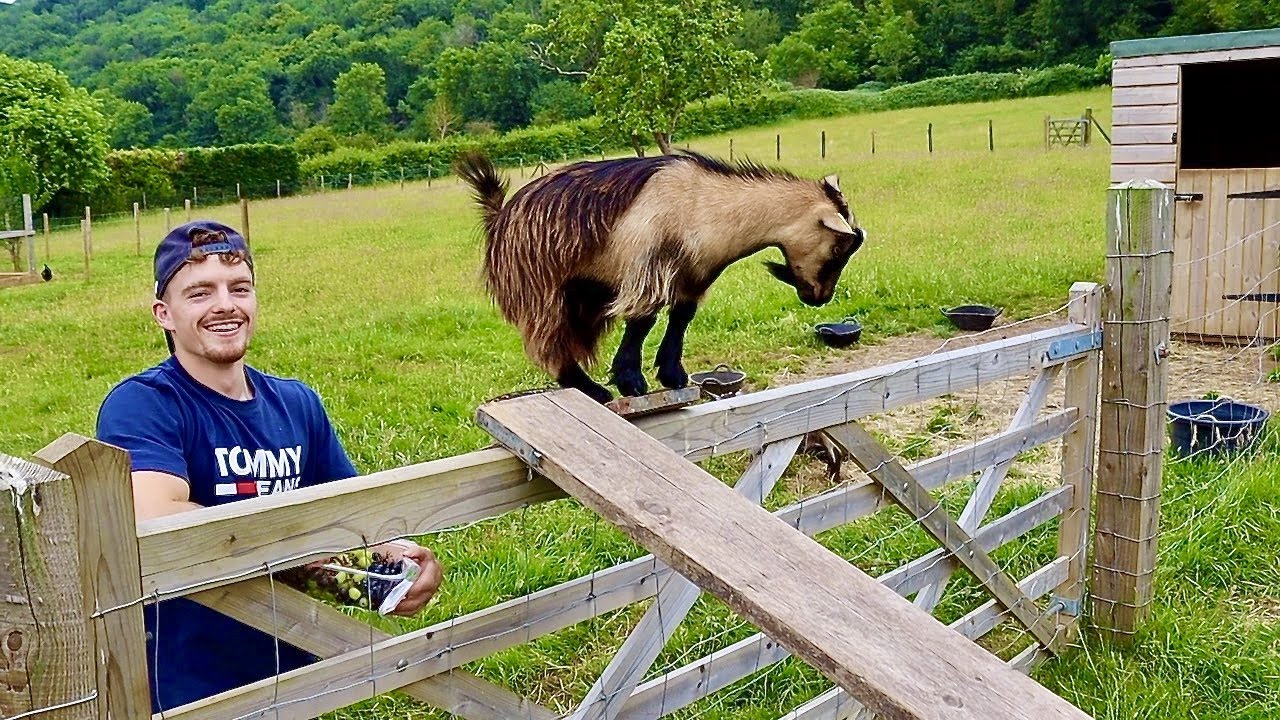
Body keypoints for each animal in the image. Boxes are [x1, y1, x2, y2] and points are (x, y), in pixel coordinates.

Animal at [455, 150, 866, 404]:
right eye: (838, 249)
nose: (819, 297)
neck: (704, 205)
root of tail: (499, 217)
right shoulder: (648, 266)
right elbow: (643, 319)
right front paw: (631, 381)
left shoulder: (694, 275)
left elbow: (681, 318)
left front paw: (672, 375)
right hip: (542, 287)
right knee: (547, 343)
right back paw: (594, 392)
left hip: (582, 294)